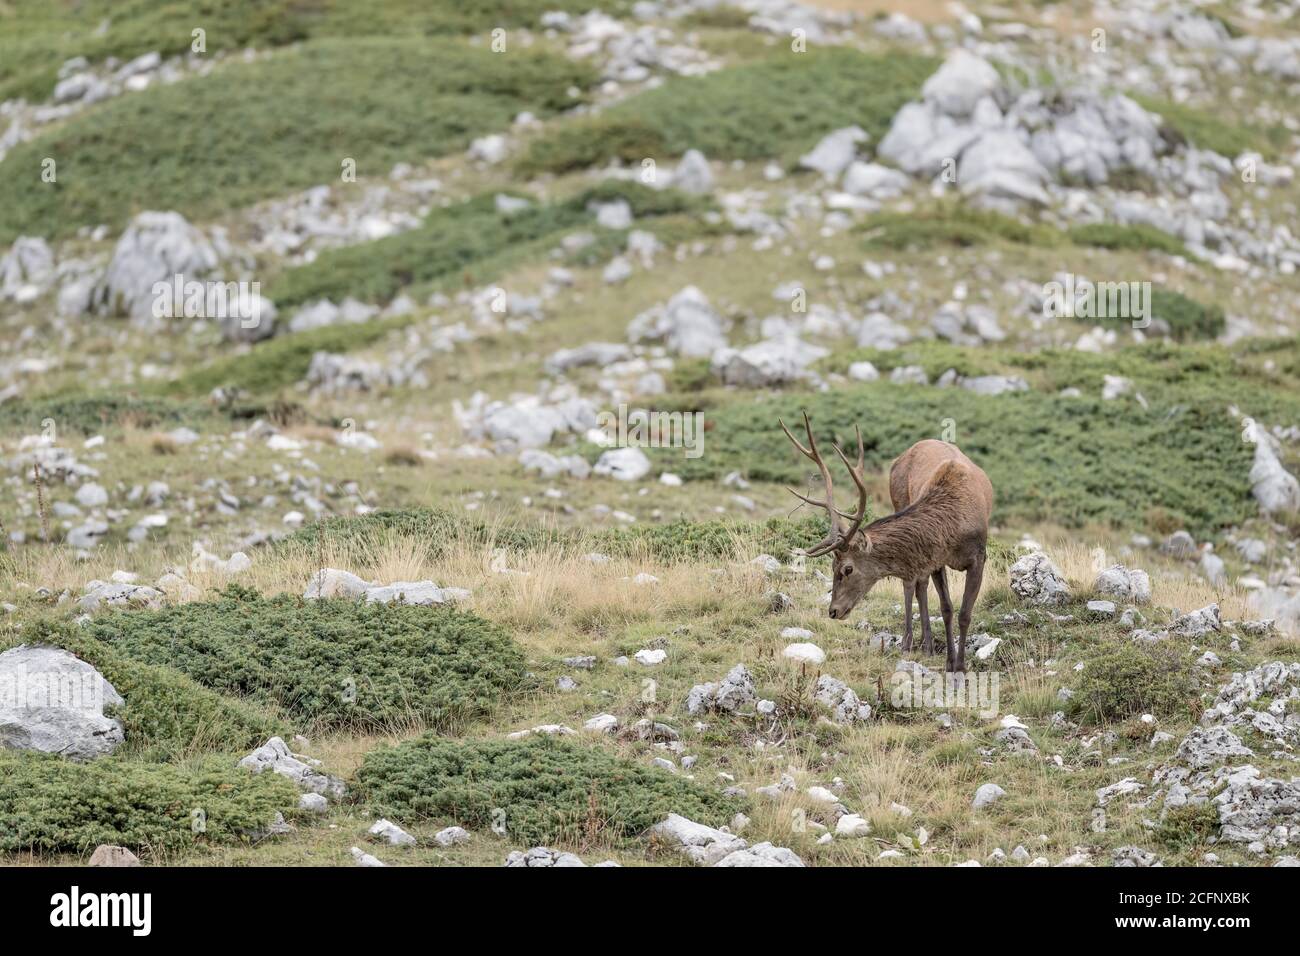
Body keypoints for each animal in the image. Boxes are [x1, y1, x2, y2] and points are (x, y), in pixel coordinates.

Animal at [780, 413, 994, 673]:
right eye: (831, 567)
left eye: (847, 569)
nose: (833, 611)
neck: (953, 528)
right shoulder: (936, 558)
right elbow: (947, 609)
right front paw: (950, 661)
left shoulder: (978, 557)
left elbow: (964, 613)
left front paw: (960, 665)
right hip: (899, 499)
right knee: (914, 585)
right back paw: (918, 644)